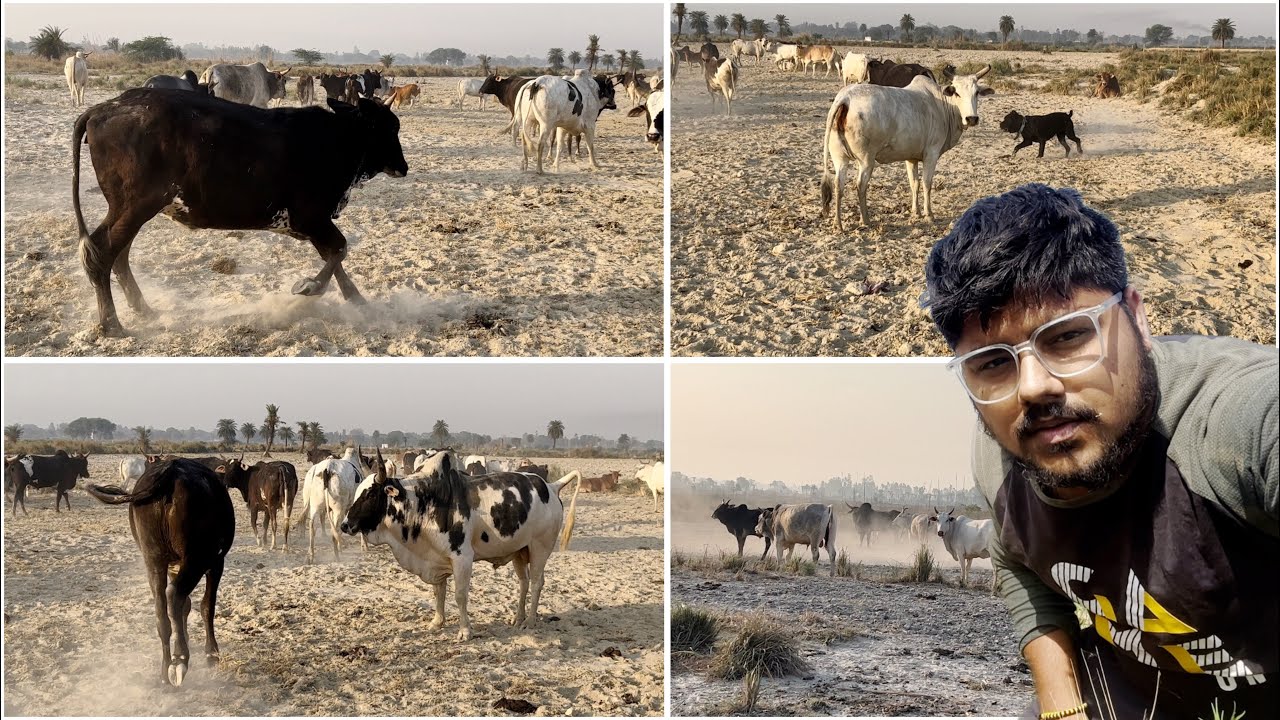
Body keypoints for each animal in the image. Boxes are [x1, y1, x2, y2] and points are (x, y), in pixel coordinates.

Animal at [71, 89, 408, 337]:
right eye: (390, 127)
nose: (403, 167)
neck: (337, 140)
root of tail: (102, 109)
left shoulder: (313, 224)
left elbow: (333, 257)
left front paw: (358, 300)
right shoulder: (312, 218)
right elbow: (339, 251)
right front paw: (309, 286)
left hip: (131, 210)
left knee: (119, 255)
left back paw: (143, 309)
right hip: (134, 207)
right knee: (103, 253)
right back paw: (111, 324)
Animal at [86, 459, 235, 686]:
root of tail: (171, 470)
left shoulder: (173, 567)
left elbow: (185, 607)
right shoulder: (216, 563)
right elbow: (206, 606)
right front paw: (212, 653)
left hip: (153, 559)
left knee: (162, 612)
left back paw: (166, 669)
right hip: (196, 558)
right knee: (174, 595)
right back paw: (180, 658)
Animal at [339, 449, 582, 640]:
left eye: (370, 494)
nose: (345, 525)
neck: (424, 500)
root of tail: (551, 487)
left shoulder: (462, 558)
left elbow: (460, 595)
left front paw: (465, 630)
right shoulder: (436, 558)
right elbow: (439, 592)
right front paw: (437, 622)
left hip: (539, 548)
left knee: (537, 583)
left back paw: (530, 621)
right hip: (519, 552)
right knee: (524, 582)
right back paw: (518, 617)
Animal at [820, 66, 993, 230]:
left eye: (977, 93)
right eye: (956, 93)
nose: (971, 118)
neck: (942, 105)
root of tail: (846, 98)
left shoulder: (911, 158)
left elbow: (914, 183)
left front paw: (916, 212)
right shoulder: (931, 154)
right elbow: (926, 183)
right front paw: (928, 214)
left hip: (839, 158)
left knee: (838, 185)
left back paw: (838, 223)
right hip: (866, 159)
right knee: (860, 186)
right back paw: (865, 220)